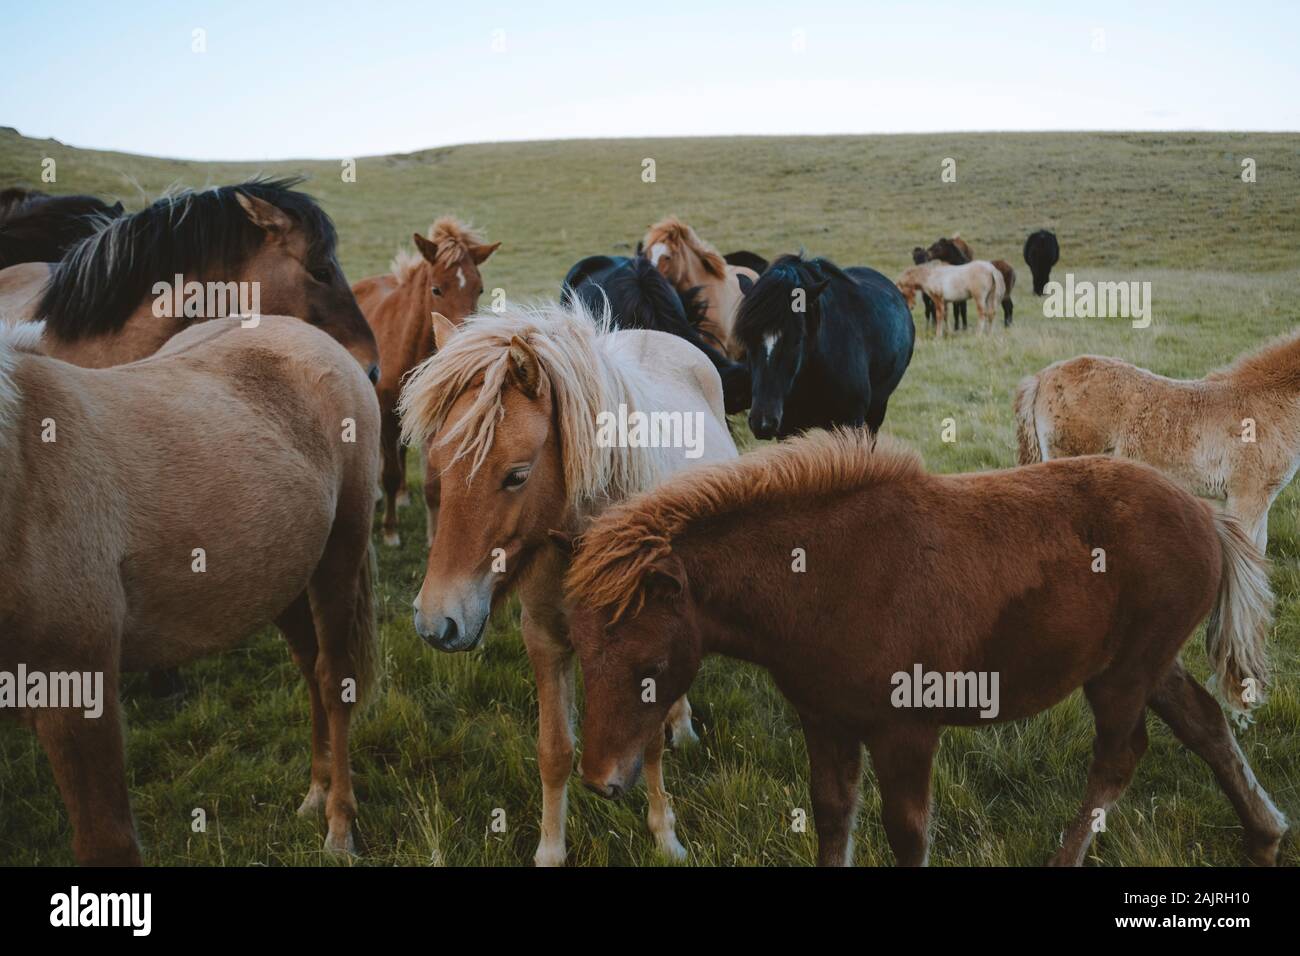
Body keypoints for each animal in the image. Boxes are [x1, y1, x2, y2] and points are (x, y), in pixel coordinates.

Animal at [0, 315, 381, 864]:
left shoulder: (76, 691)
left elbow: (107, 841)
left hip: (340, 554)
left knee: (334, 681)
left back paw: (339, 823)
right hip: (282, 577)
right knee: (310, 667)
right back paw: (316, 791)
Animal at [353, 219, 499, 547]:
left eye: (480, 289)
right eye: (436, 289)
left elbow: (434, 480)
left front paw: (434, 535)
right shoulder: (386, 413)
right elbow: (390, 473)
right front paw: (390, 531)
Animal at [396, 297, 738, 866]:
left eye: (516, 475)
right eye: (439, 465)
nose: (436, 622)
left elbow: (647, 745)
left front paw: (665, 836)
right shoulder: (546, 640)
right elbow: (555, 751)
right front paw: (550, 850)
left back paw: (682, 726)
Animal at [565, 429, 1286, 867]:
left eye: (653, 668)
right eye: (580, 657)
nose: (600, 781)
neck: (825, 577)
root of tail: (1207, 516)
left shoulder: (906, 731)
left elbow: (906, 832)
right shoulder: (826, 722)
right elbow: (834, 816)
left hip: (1124, 675)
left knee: (1121, 756)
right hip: (1143, 664)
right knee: (1204, 723)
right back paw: (1265, 834)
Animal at [735, 253, 913, 439]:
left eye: (797, 340)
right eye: (747, 340)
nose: (763, 423)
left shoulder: (851, 423)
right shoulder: (788, 429)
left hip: (876, 411)